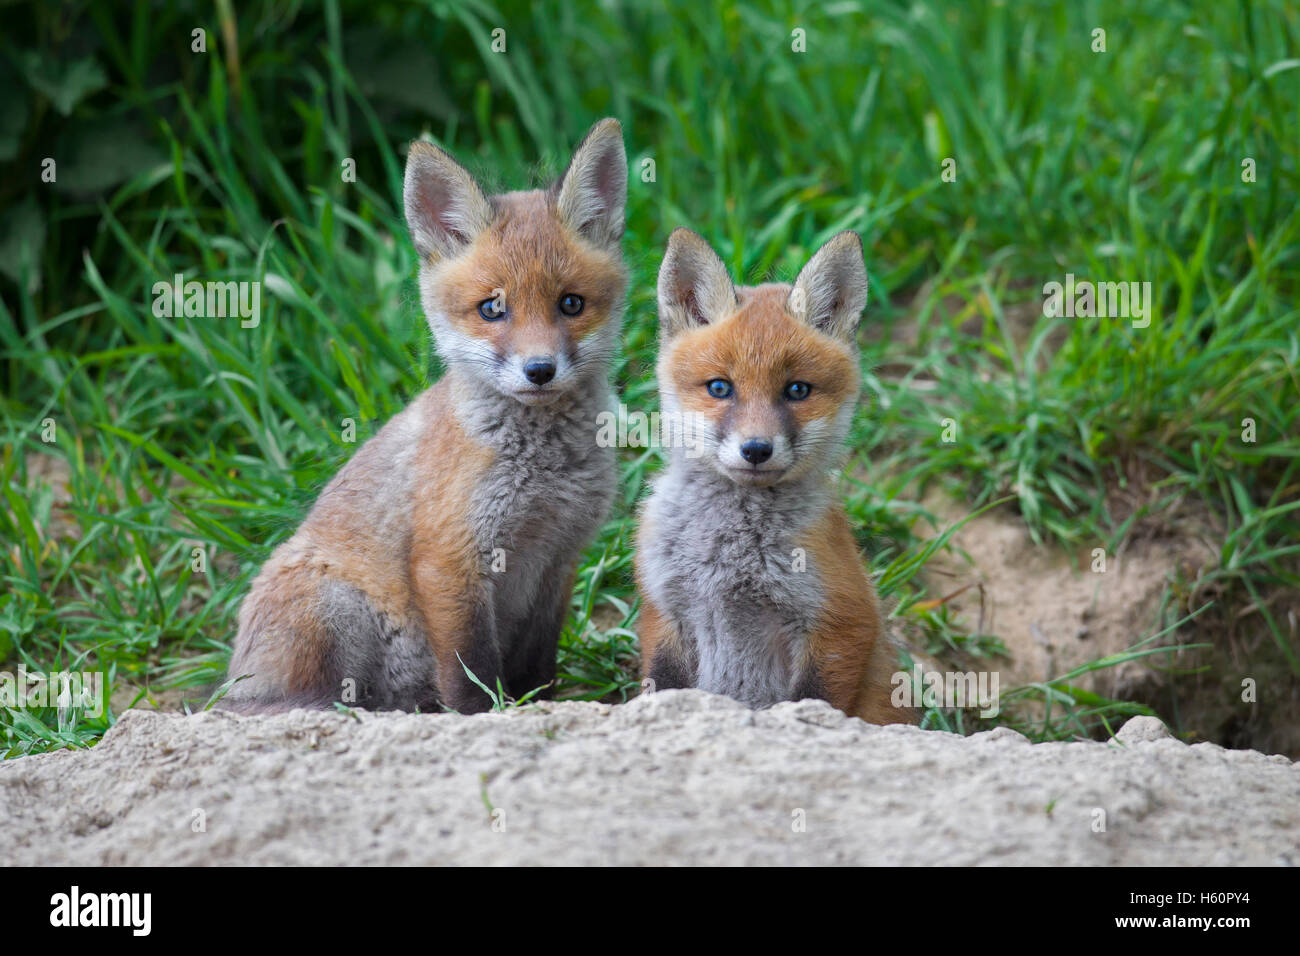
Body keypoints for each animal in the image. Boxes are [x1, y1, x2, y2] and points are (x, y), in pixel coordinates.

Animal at [221, 119, 628, 714]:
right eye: (492, 308)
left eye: (571, 304)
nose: (539, 370)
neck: (544, 475)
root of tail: (228, 685)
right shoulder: (450, 562)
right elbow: (470, 677)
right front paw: (484, 717)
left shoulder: (558, 562)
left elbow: (538, 670)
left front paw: (540, 706)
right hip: (335, 609)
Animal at [635, 227, 911, 724]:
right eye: (720, 387)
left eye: (797, 390)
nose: (756, 449)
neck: (732, 553)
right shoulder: (665, 609)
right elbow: (661, 688)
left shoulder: (841, 619)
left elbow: (815, 702)